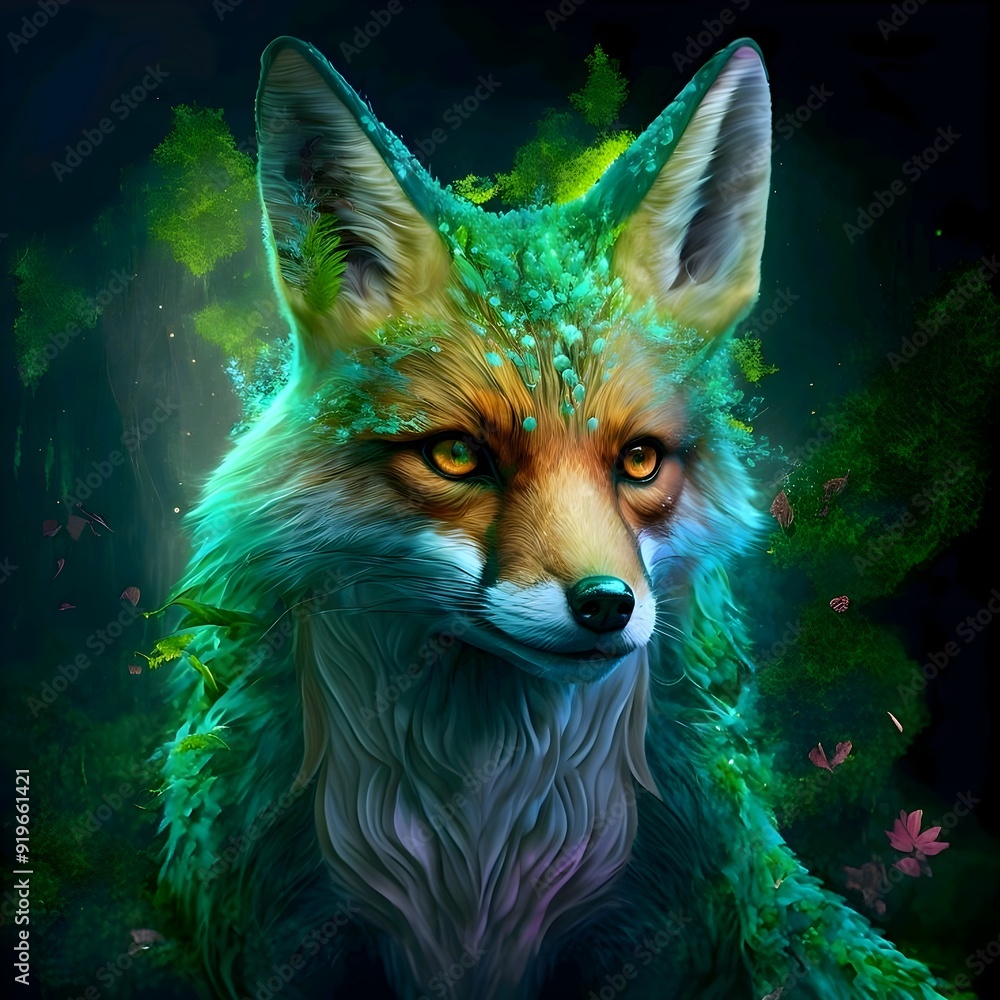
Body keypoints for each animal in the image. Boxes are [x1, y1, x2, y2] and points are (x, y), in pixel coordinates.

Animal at [154, 34, 952, 1000]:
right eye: (459, 457)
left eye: (639, 460)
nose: (607, 605)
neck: (475, 858)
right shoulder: (285, 931)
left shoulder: (653, 926)